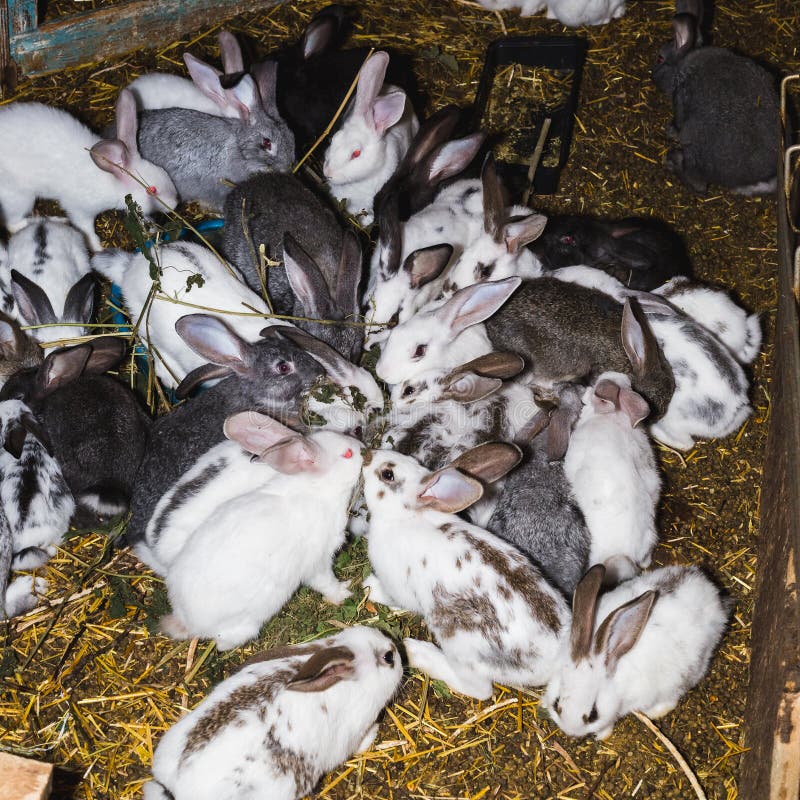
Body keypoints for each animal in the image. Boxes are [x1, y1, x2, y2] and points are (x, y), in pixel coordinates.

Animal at [0, 90, 177, 253]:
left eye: (163, 171)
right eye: (151, 190)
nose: (175, 204)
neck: (110, 180)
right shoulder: (79, 209)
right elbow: (85, 228)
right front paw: (98, 247)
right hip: (21, 198)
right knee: (14, 224)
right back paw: (55, 220)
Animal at [155, 411, 363, 650]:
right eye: (348, 454)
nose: (364, 449)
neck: (318, 490)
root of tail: (185, 619)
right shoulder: (317, 563)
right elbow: (325, 582)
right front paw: (344, 592)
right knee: (222, 644)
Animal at [363, 443, 571, 700]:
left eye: (387, 474)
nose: (367, 454)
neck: (405, 516)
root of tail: (555, 660)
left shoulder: (398, 588)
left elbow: (392, 597)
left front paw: (368, 587)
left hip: (459, 641)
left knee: (480, 690)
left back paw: (419, 652)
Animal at [543, 563, 731, 740]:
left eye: (593, 714)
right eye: (557, 704)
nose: (570, 732)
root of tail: (709, 590)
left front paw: (602, 735)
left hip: (682, 675)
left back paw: (654, 712)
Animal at [651, 3, 779, 195]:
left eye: (660, 58)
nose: (652, 74)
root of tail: (757, 178)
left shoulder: (680, 98)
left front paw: (671, 130)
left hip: (696, 150)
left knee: (698, 184)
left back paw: (672, 160)